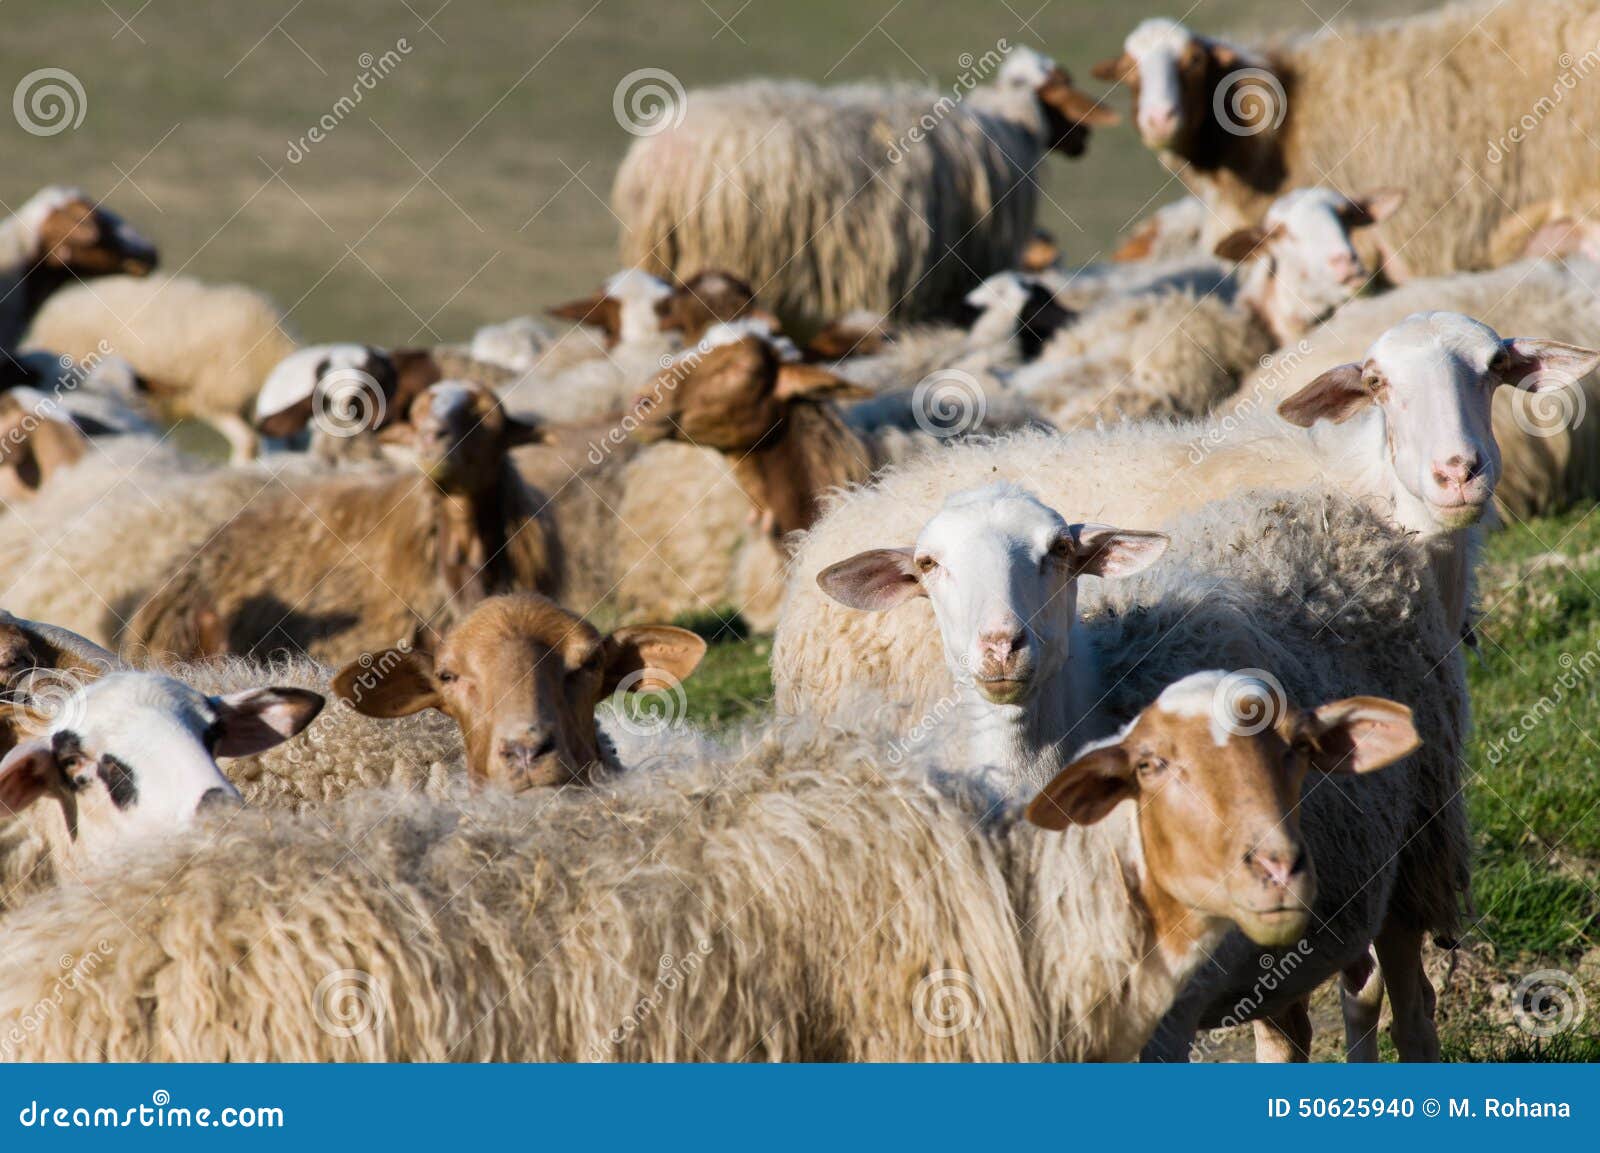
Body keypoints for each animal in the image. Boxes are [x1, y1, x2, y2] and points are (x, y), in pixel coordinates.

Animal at [815, 482, 1465, 1060]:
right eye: (928, 564)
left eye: (1060, 550)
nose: (1001, 646)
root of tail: (1319, 501)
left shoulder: (1166, 1018)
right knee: (1310, 1021)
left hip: (1419, 845)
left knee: (1407, 1011)